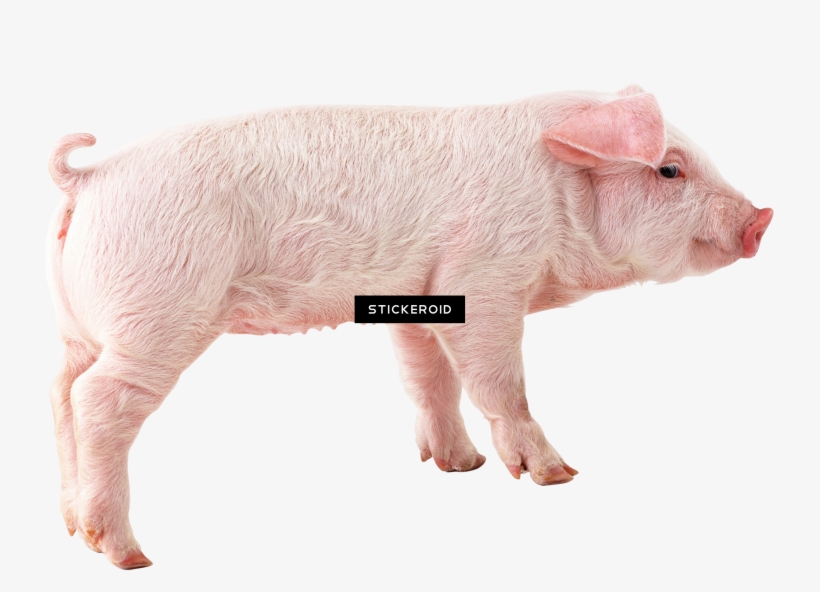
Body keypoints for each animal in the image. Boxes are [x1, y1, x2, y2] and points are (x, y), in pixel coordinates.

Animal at [46, 86, 772, 569]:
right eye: (670, 169)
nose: (763, 218)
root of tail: (90, 178)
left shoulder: (420, 294)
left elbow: (430, 377)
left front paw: (460, 467)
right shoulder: (485, 277)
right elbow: (499, 382)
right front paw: (557, 476)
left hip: (82, 328)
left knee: (60, 395)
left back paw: (73, 530)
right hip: (158, 309)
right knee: (99, 400)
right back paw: (128, 556)